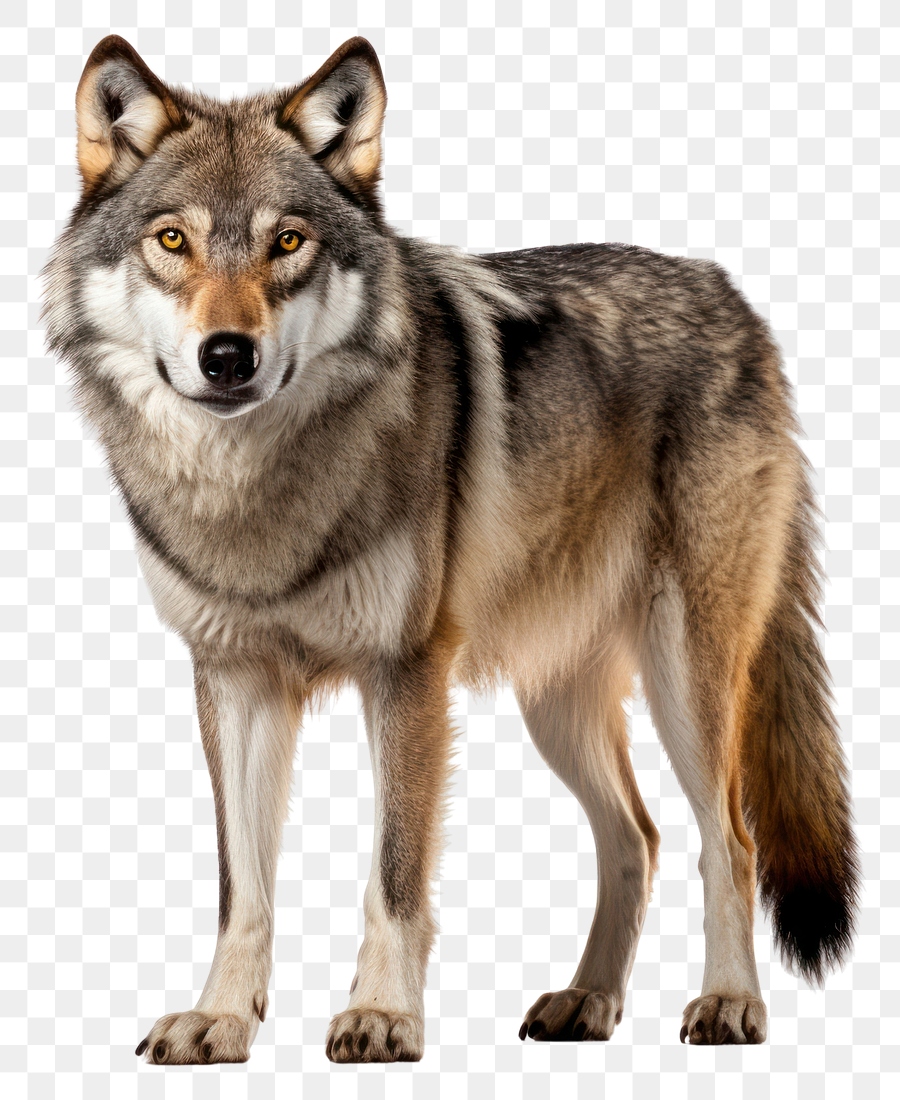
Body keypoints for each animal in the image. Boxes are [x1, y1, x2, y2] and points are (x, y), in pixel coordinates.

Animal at [42, 34, 859, 1063]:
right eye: (173, 241)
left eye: (288, 242)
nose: (228, 356)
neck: (254, 496)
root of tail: (739, 301)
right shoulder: (234, 678)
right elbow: (243, 890)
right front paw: (221, 1018)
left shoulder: (406, 674)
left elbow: (394, 878)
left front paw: (384, 1016)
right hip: (556, 703)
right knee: (636, 837)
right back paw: (586, 1003)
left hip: (688, 674)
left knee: (730, 840)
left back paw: (728, 1003)